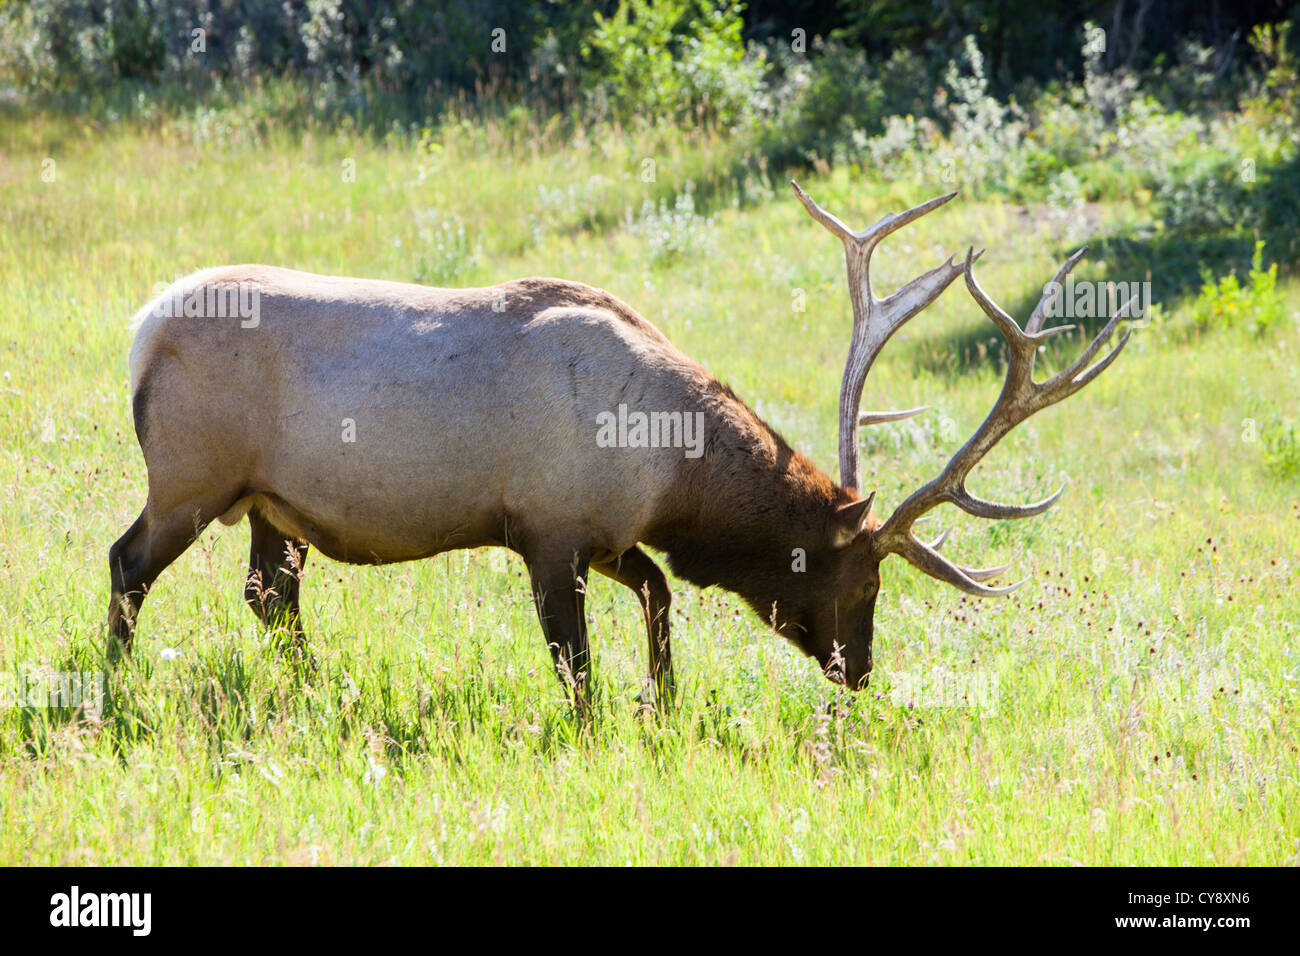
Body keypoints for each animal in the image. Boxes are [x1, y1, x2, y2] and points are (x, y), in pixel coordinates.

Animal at [108, 183, 1131, 713]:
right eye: (863, 582)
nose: (862, 672)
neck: (672, 468)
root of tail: (140, 329)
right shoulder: (547, 529)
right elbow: (578, 664)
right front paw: (597, 726)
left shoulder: (607, 535)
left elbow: (661, 596)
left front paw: (665, 705)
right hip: (191, 479)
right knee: (128, 561)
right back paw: (114, 688)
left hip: (268, 503)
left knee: (268, 596)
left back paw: (322, 692)